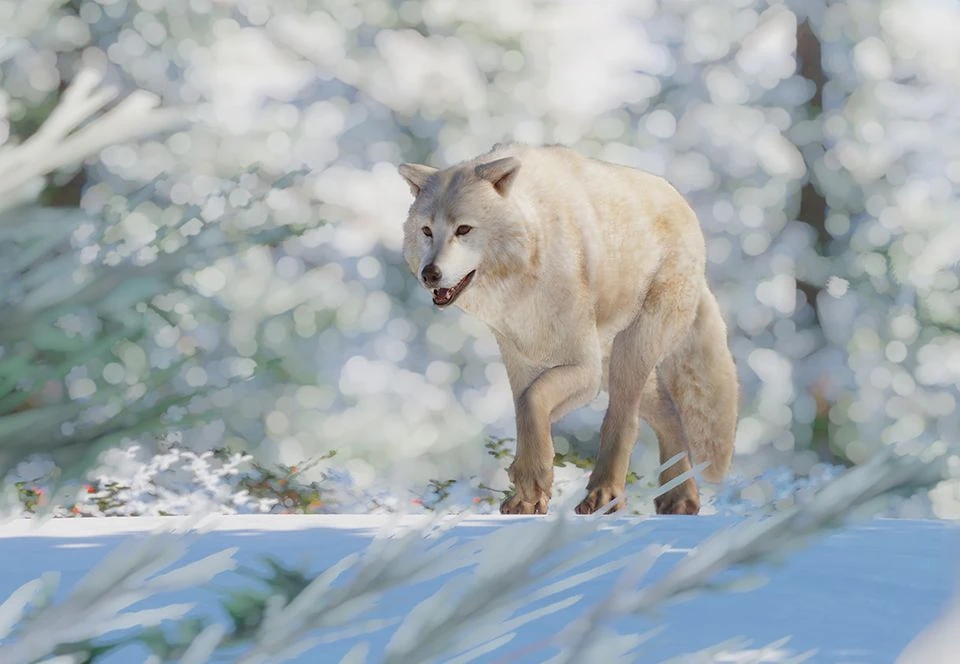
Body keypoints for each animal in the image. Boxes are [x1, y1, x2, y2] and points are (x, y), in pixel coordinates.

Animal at [397, 143, 739, 515]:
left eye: (463, 230)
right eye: (427, 231)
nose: (430, 274)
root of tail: (683, 203)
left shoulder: (584, 369)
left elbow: (533, 402)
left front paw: (532, 480)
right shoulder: (520, 359)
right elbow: (525, 412)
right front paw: (528, 495)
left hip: (629, 351)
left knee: (625, 419)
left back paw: (604, 495)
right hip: (613, 363)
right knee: (670, 413)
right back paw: (679, 500)